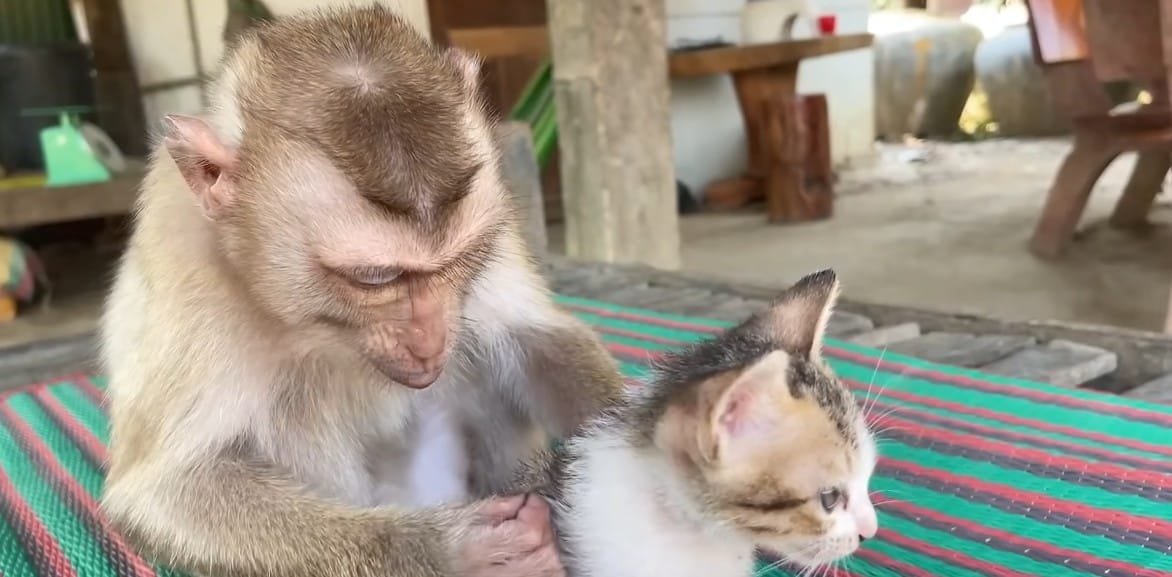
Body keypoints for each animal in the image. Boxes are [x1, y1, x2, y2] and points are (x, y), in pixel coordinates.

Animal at [97, 6, 625, 577]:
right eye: (374, 278)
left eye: (461, 260)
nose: (429, 340)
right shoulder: (189, 273)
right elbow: (164, 491)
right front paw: (448, 552)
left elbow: (534, 338)